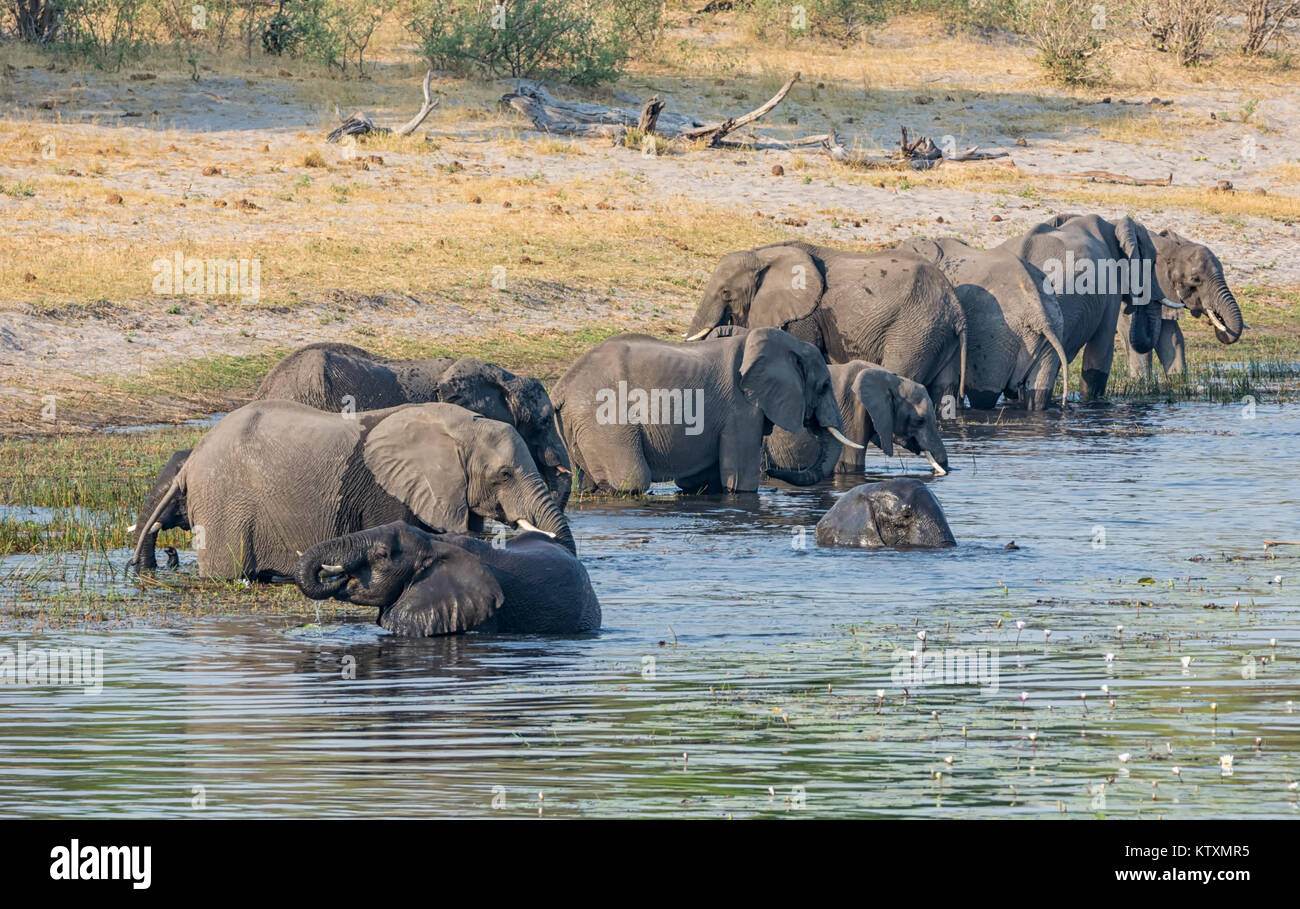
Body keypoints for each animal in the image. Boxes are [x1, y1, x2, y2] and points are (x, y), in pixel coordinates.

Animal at [552, 327, 861, 494]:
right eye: (824, 386)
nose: (773, 472)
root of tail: (561, 388)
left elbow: (703, 482)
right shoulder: (741, 409)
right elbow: (739, 482)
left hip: (579, 424)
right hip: (603, 420)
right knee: (632, 479)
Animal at [683, 241, 967, 407]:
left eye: (726, 293)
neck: (763, 255)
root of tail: (957, 310)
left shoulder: (805, 316)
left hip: (915, 329)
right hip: (938, 334)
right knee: (943, 393)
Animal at [1114, 228, 1245, 378]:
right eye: (1195, 279)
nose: (1218, 319)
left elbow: (1172, 337)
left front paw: (1177, 379)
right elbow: (1131, 332)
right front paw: (1141, 380)